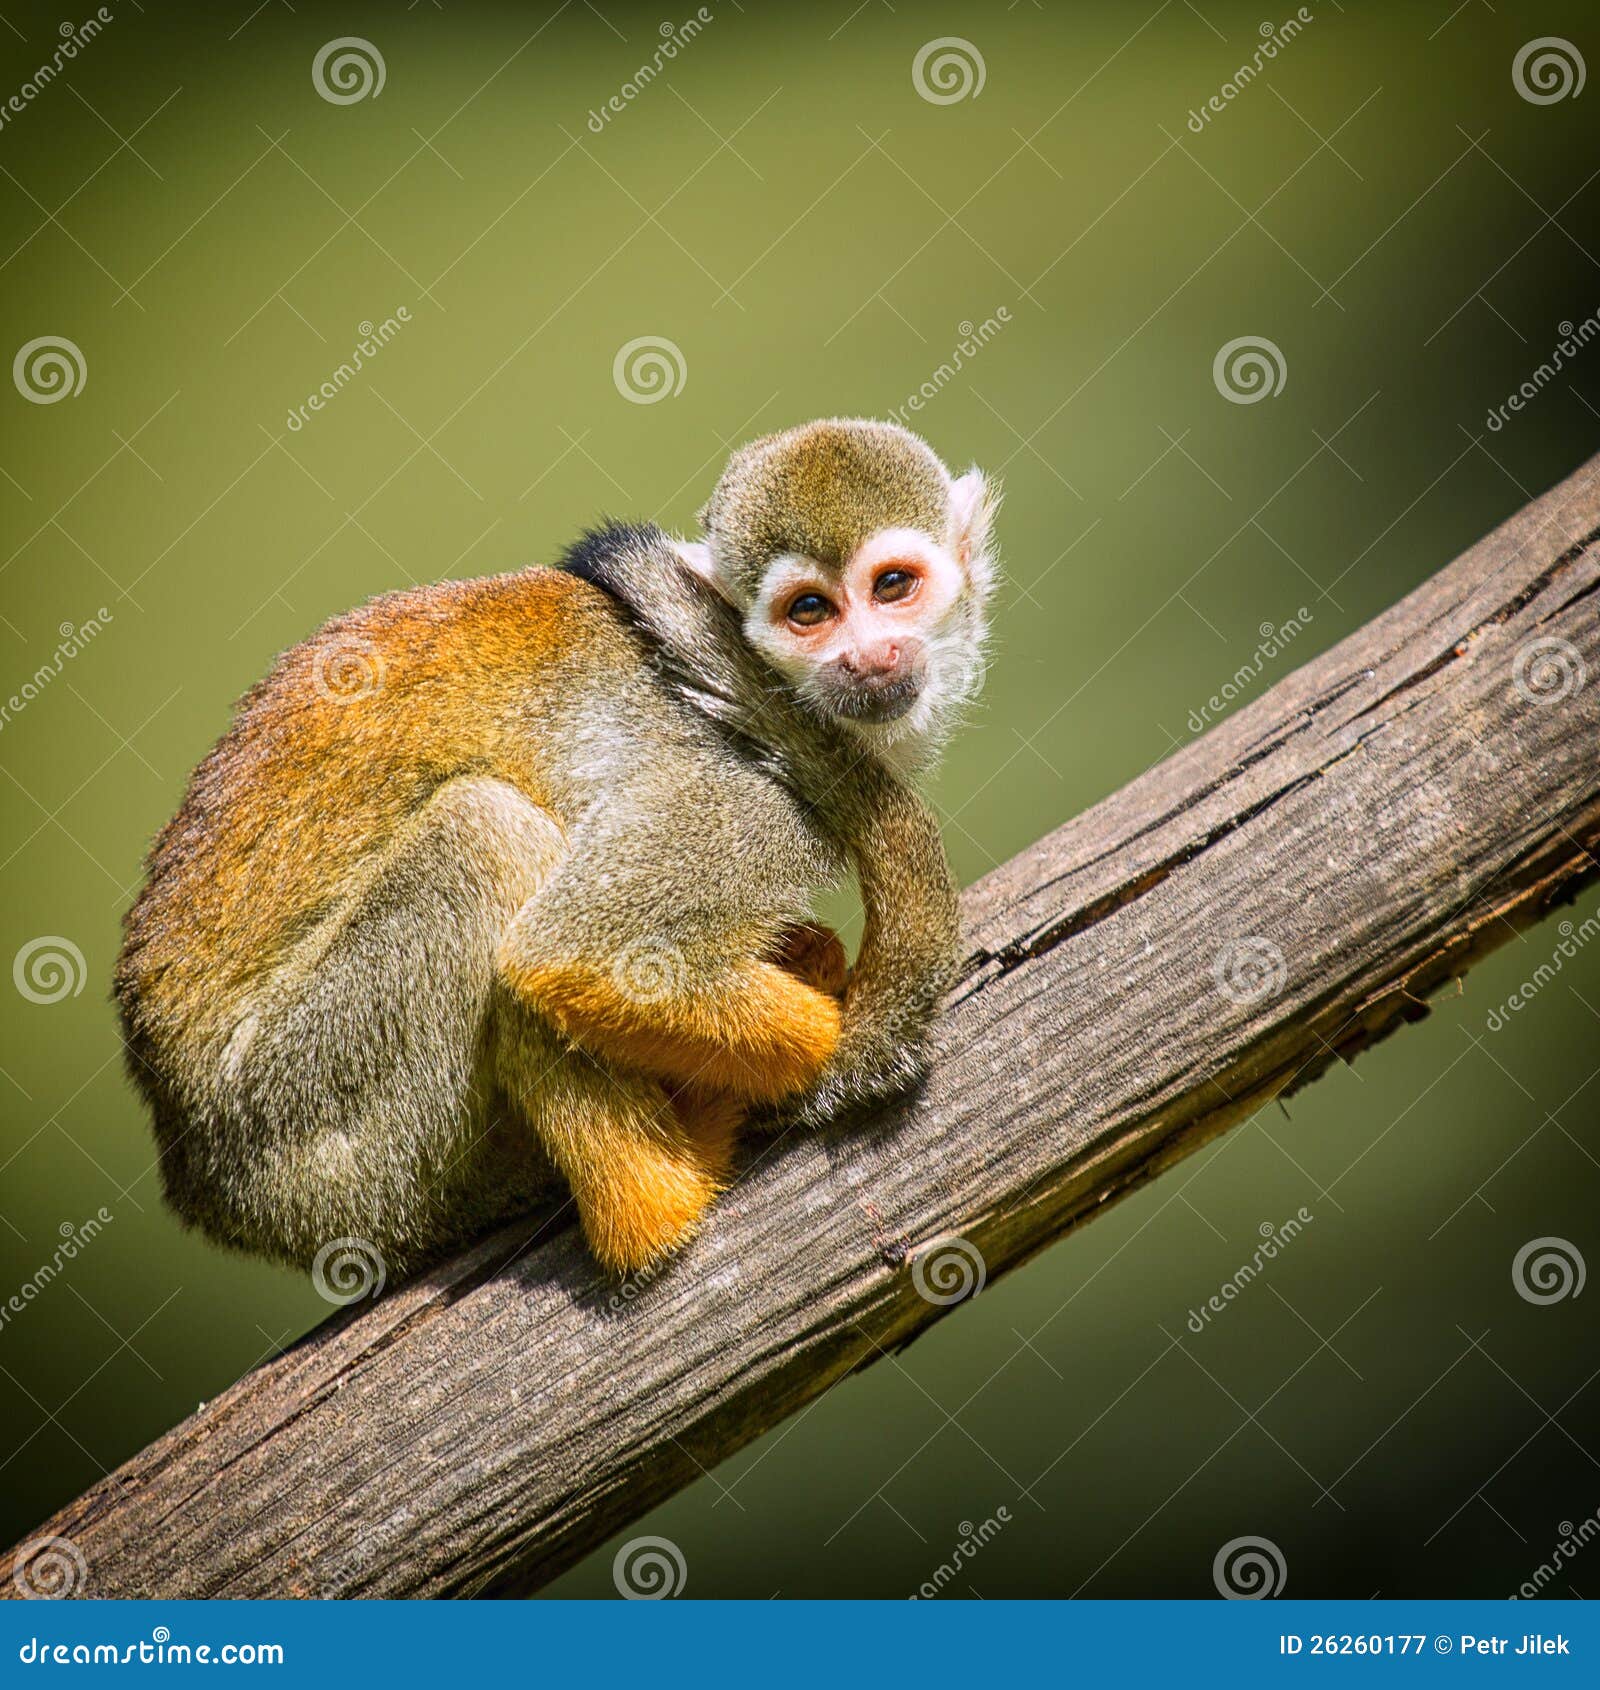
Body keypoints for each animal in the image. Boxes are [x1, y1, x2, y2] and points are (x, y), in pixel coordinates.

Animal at [114, 418, 997, 1278]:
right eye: (808, 611)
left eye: (892, 587)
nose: (868, 656)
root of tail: (205, 1186)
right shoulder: (741, 796)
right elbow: (574, 955)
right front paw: (841, 1047)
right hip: (306, 1128)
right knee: (483, 837)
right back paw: (653, 1209)